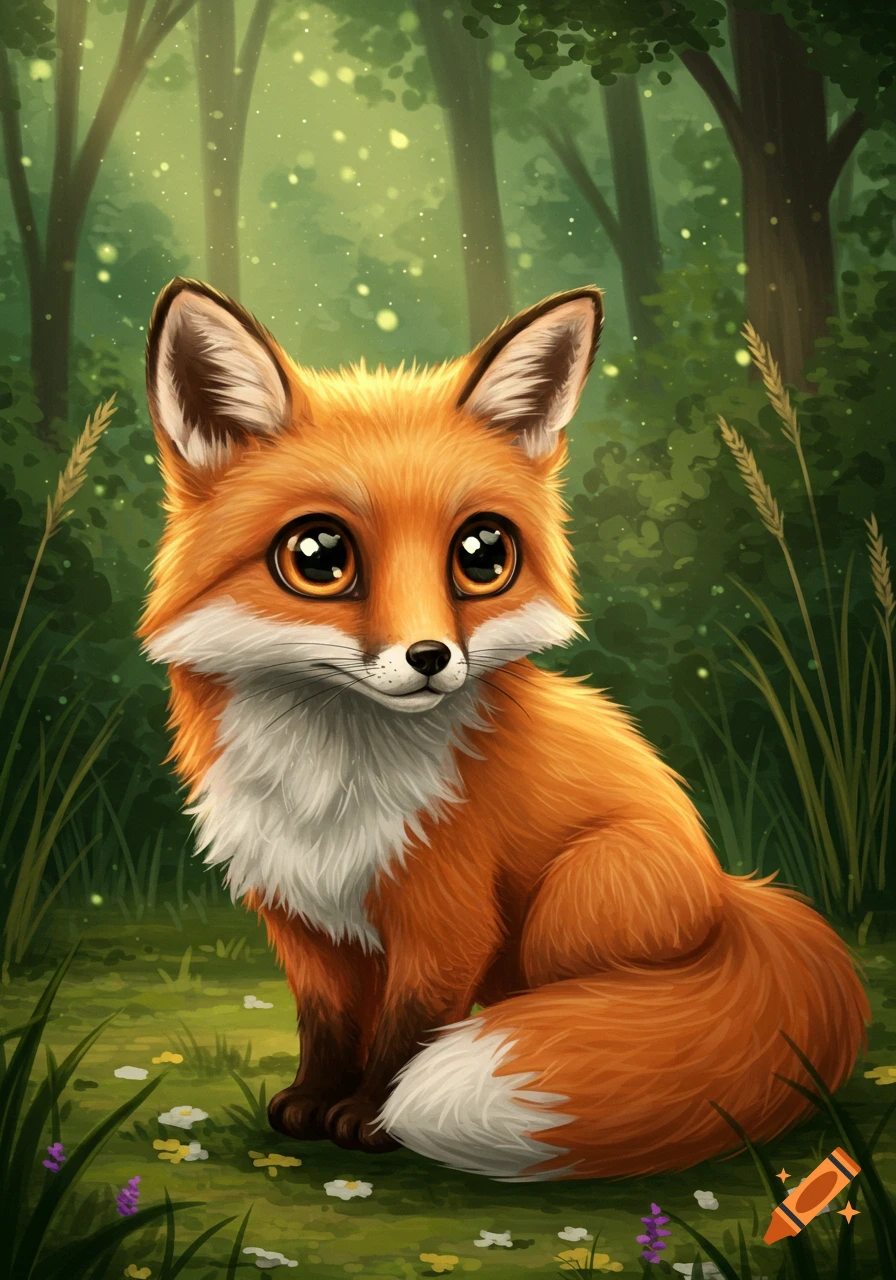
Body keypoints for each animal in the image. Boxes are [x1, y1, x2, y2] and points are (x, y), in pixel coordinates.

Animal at [140, 276, 869, 1181]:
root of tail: (734, 890)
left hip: (580, 894)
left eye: (483, 553)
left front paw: (370, 1118)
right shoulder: (299, 913)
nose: (430, 657)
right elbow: (328, 1024)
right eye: (318, 556)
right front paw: (311, 1102)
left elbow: (407, 1029)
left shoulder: (446, 917)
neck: (329, 788)